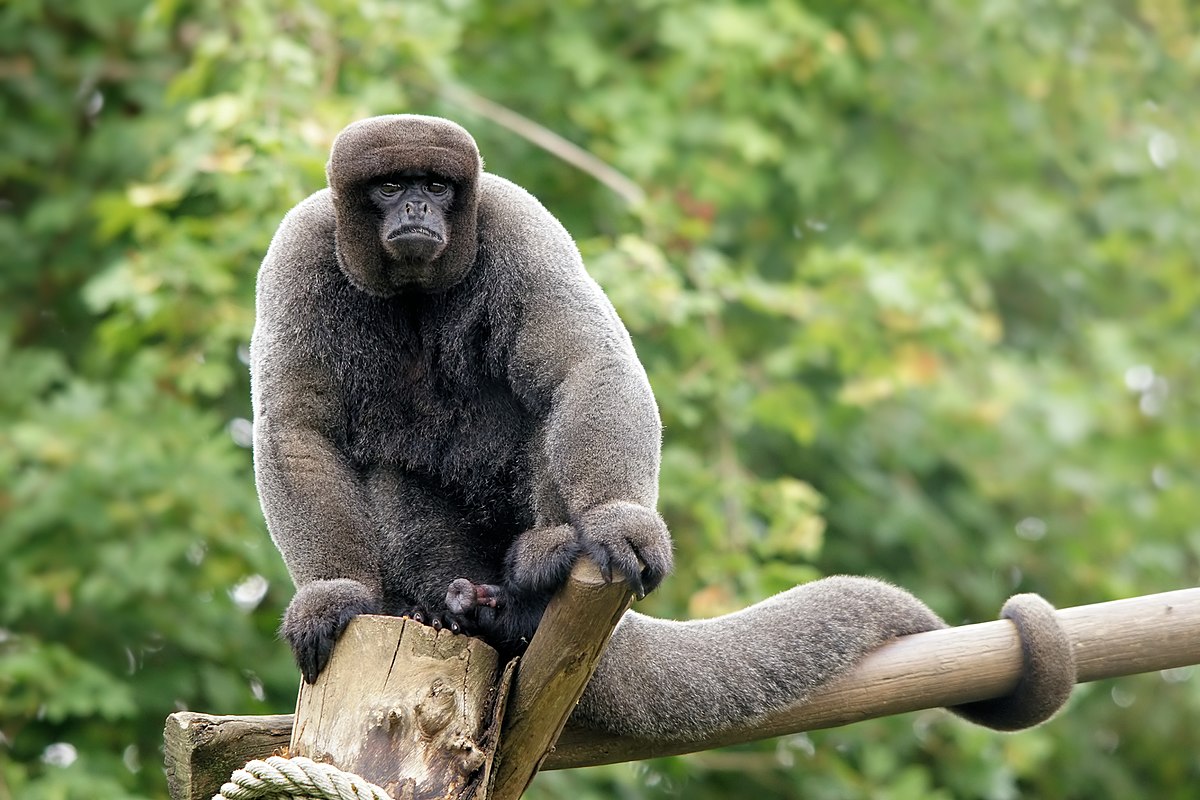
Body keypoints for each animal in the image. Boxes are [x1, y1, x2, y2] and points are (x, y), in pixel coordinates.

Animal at [251, 114, 1075, 740]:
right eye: (392, 186)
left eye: (438, 187)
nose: (419, 211)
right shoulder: (297, 249)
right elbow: (295, 427)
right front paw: (333, 594)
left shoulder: (515, 223)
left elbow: (587, 364)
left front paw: (618, 522)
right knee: (396, 475)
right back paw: (454, 608)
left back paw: (533, 585)